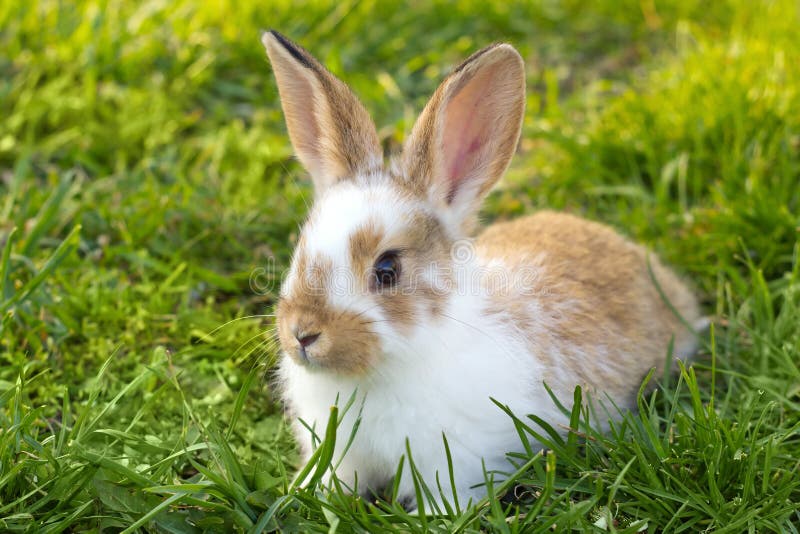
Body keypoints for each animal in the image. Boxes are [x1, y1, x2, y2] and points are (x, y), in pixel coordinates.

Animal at [261, 30, 703, 509]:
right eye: (301, 247)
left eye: (387, 269)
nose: (303, 334)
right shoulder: (346, 454)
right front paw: (305, 493)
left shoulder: (453, 462)